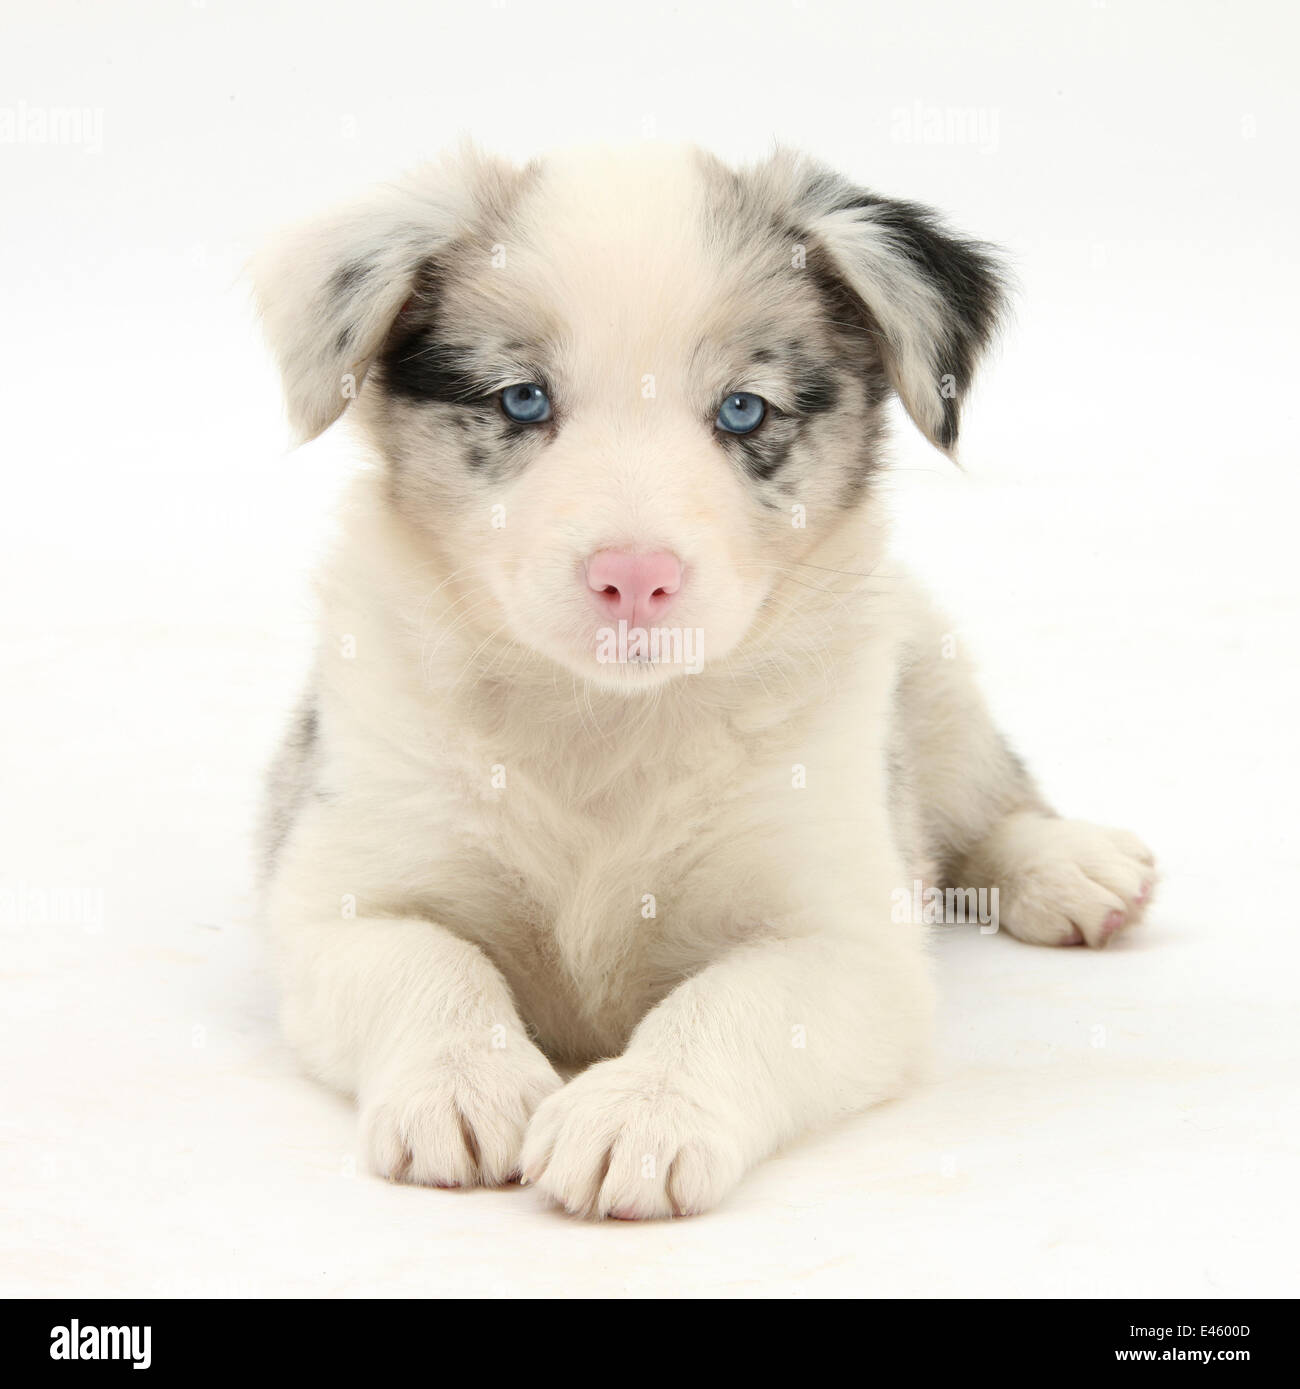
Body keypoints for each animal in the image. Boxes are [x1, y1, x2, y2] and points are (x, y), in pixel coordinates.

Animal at [251, 146, 1155, 1222]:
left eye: (742, 409)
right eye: (522, 400)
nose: (634, 577)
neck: (606, 722)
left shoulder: (847, 937)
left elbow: (732, 1002)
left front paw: (640, 1110)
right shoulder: (337, 893)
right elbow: (427, 961)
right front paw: (462, 1081)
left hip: (929, 667)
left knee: (985, 793)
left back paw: (1065, 863)